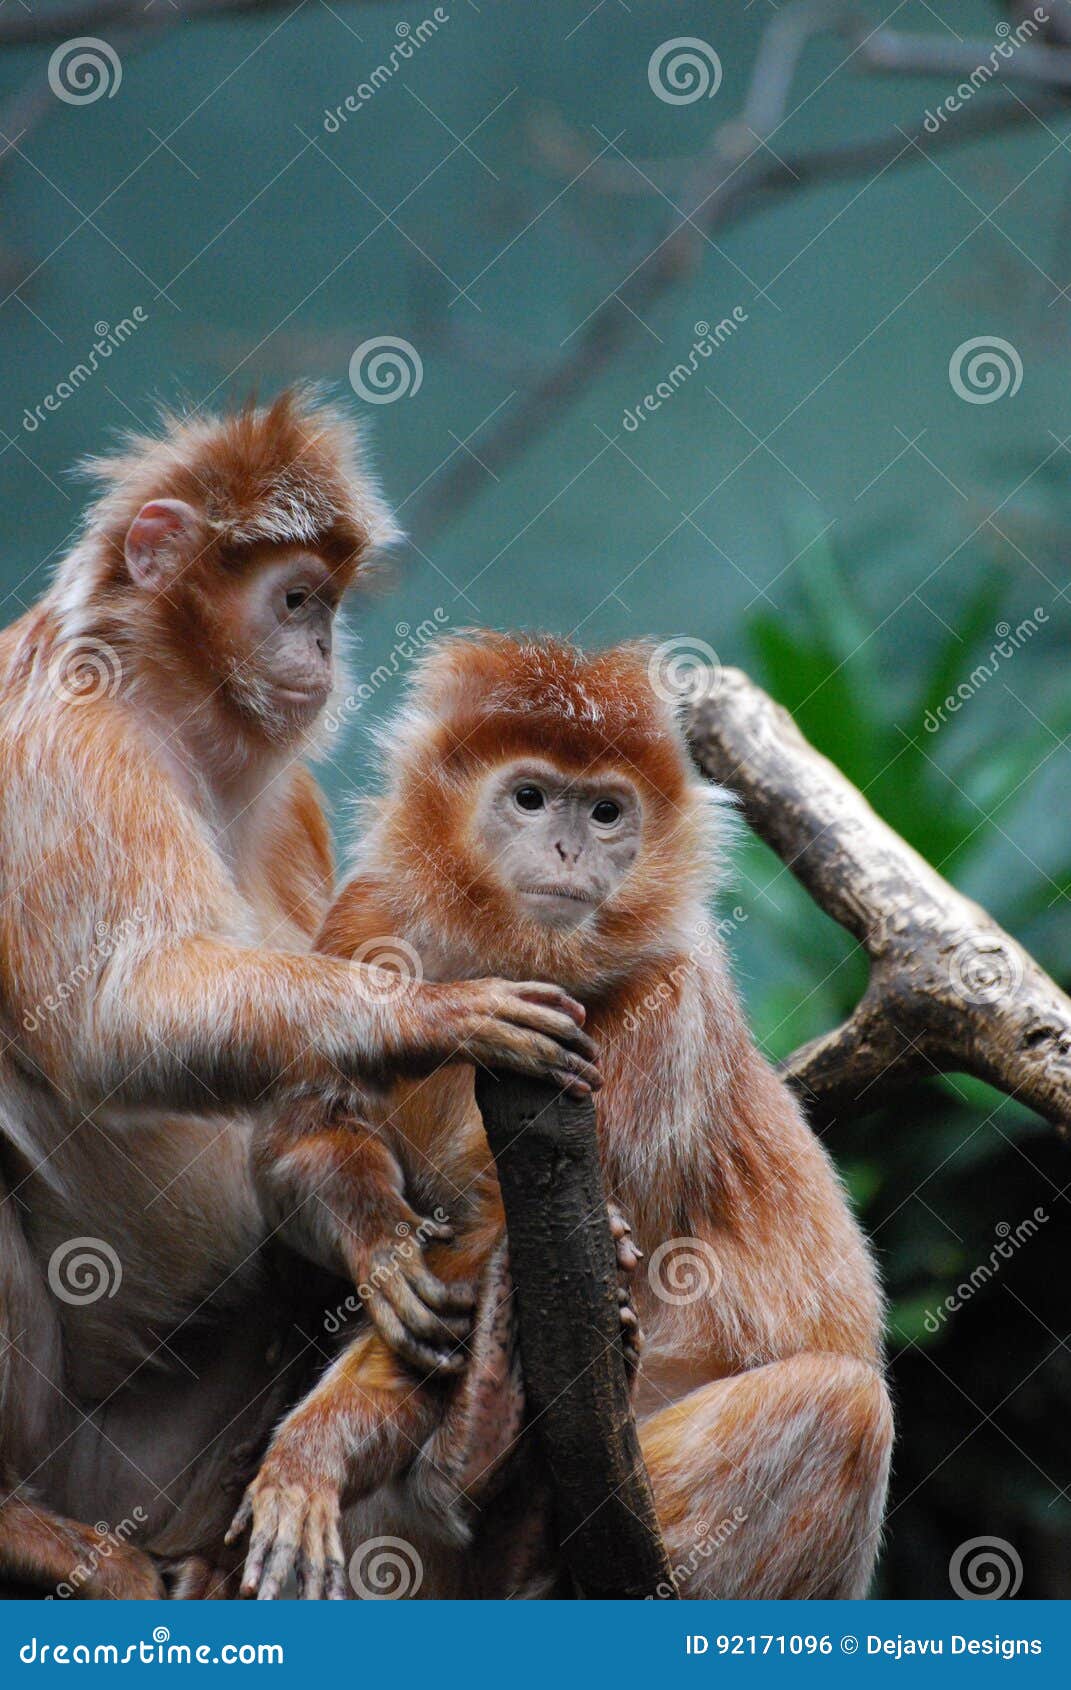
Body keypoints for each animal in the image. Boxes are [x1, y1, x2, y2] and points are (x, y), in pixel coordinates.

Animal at [0, 409, 599, 1598]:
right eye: (293, 600)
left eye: (325, 605)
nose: (323, 652)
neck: (168, 712)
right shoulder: (67, 739)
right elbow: (109, 1015)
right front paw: (440, 1013)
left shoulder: (290, 799)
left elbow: (307, 1109)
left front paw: (376, 1234)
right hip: (78, 1453)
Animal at [228, 631, 894, 1601]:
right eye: (531, 797)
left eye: (607, 812)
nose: (570, 848)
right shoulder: (369, 910)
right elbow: (296, 1138)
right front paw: (385, 1252)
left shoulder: (669, 996)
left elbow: (512, 1232)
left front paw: (312, 1450)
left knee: (844, 1408)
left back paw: (496, 1494)